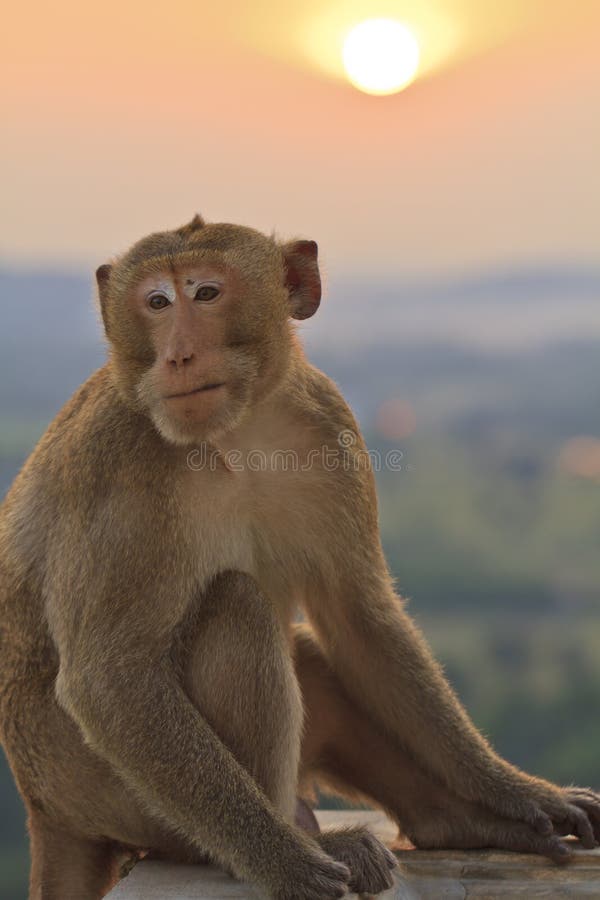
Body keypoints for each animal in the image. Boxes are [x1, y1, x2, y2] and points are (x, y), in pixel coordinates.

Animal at [0, 214, 599, 900]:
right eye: (155, 302)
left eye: (205, 292)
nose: (177, 355)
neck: (235, 432)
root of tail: (43, 809)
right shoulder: (116, 460)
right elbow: (108, 678)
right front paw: (284, 861)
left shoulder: (330, 426)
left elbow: (359, 617)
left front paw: (516, 791)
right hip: (108, 792)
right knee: (237, 606)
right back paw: (285, 841)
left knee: (309, 647)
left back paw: (455, 820)